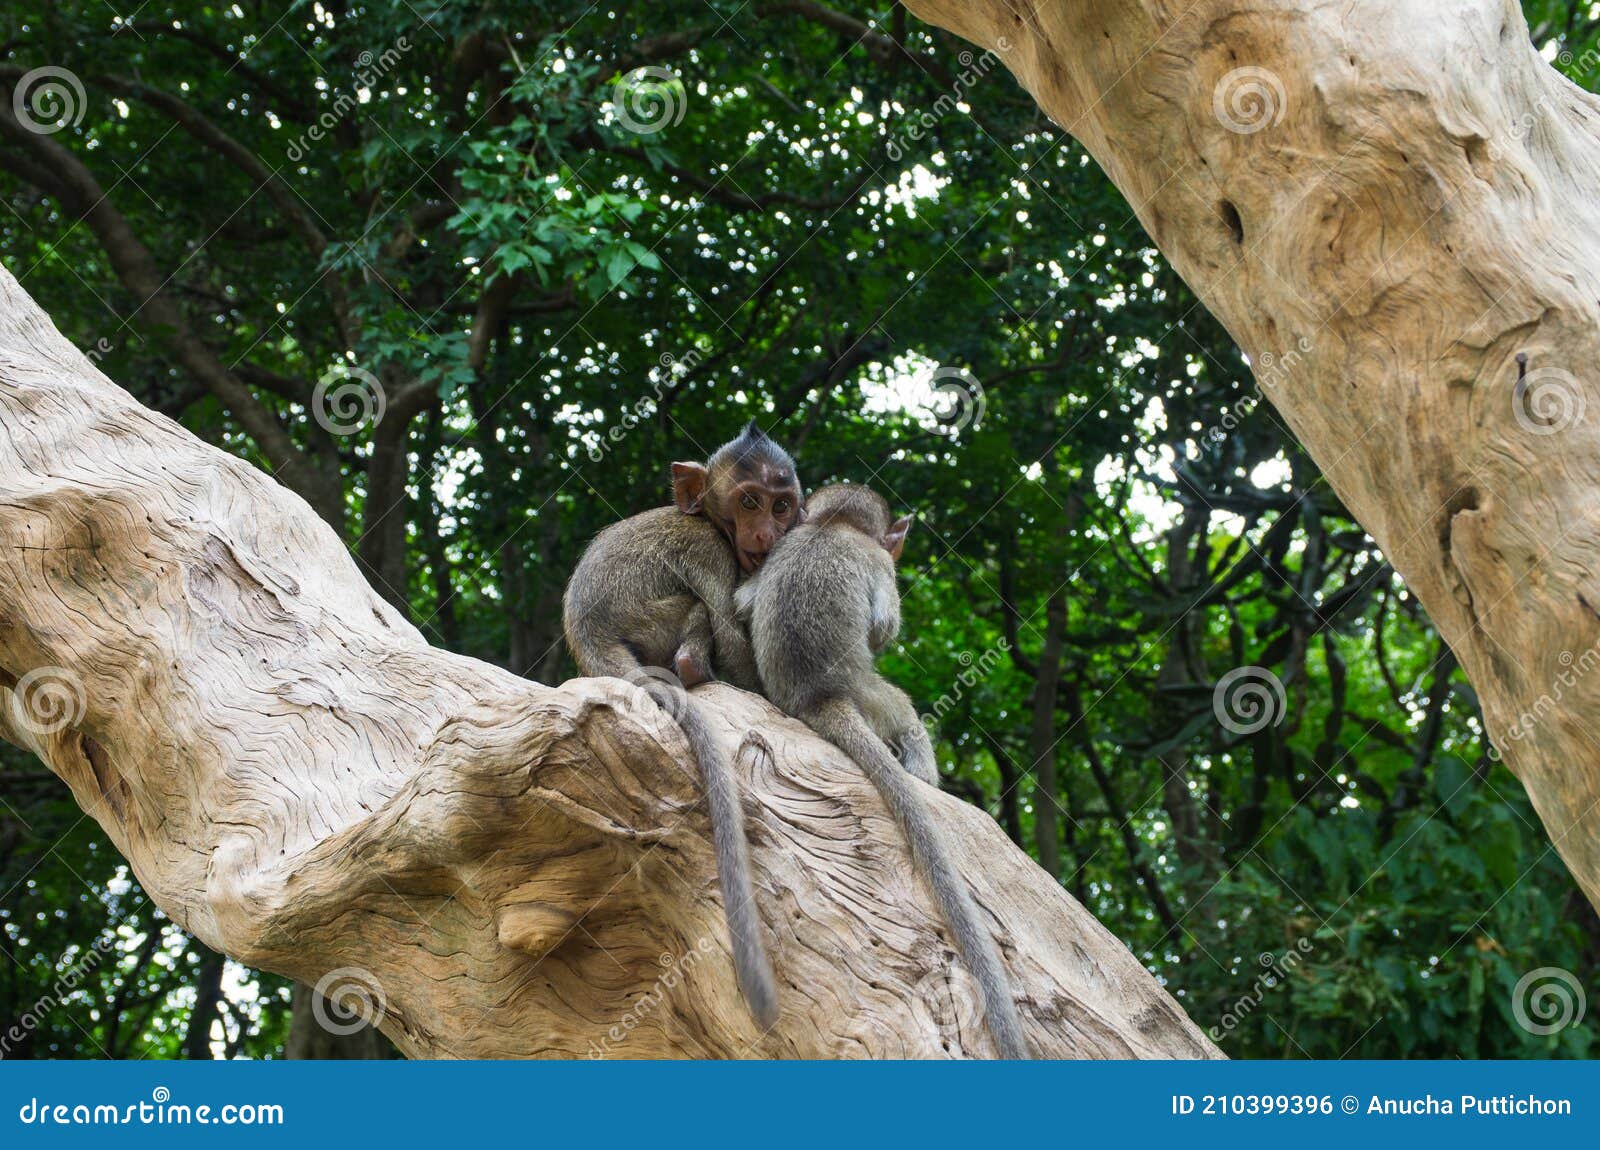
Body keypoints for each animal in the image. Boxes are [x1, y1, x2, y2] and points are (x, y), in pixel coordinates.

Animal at [562, 422, 804, 1028]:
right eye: (749, 501)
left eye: (782, 504)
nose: (767, 532)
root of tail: (588, 635)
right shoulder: (711, 551)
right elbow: (732, 633)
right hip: (654, 618)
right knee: (696, 616)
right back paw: (694, 667)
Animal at [735, 483, 1031, 1059]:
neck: (833, 526)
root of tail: (817, 697)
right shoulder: (879, 565)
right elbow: (884, 627)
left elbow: (742, 601)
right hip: (873, 696)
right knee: (907, 715)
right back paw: (922, 774)